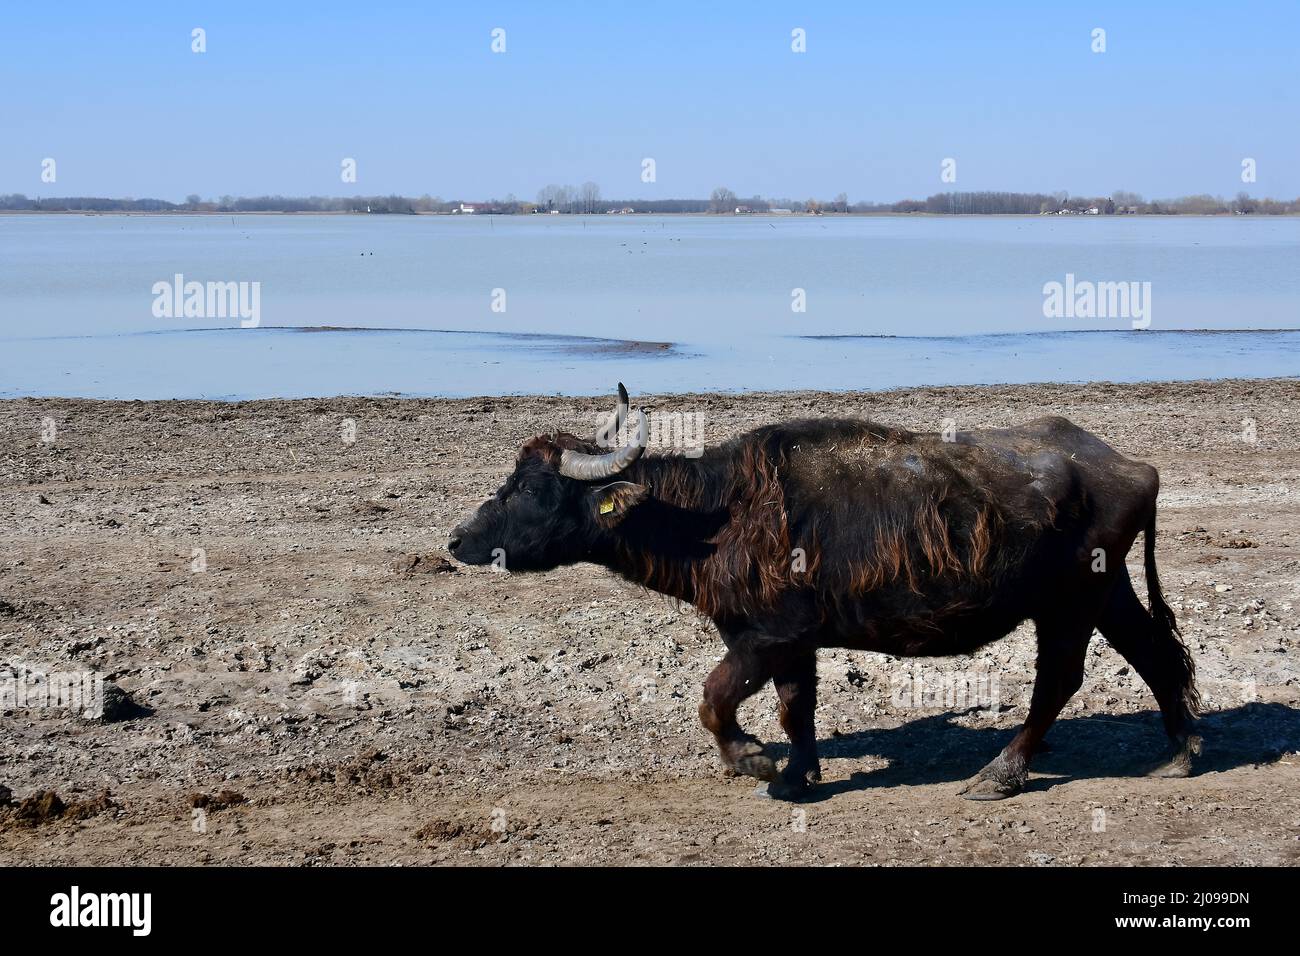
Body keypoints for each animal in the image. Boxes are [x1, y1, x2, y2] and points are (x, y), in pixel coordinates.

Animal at [449, 385, 1199, 799]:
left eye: (532, 491)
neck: (719, 513)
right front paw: (796, 772)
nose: (457, 539)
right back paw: (1180, 754)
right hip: (1108, 590)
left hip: (1068, 604)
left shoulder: (764, 636)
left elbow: (714, 700)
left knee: (1059, 680)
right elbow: (795, 708)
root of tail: (1128, 466)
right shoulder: (793, 642)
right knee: (1157, 653)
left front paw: (753, 762)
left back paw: (1000, 772)